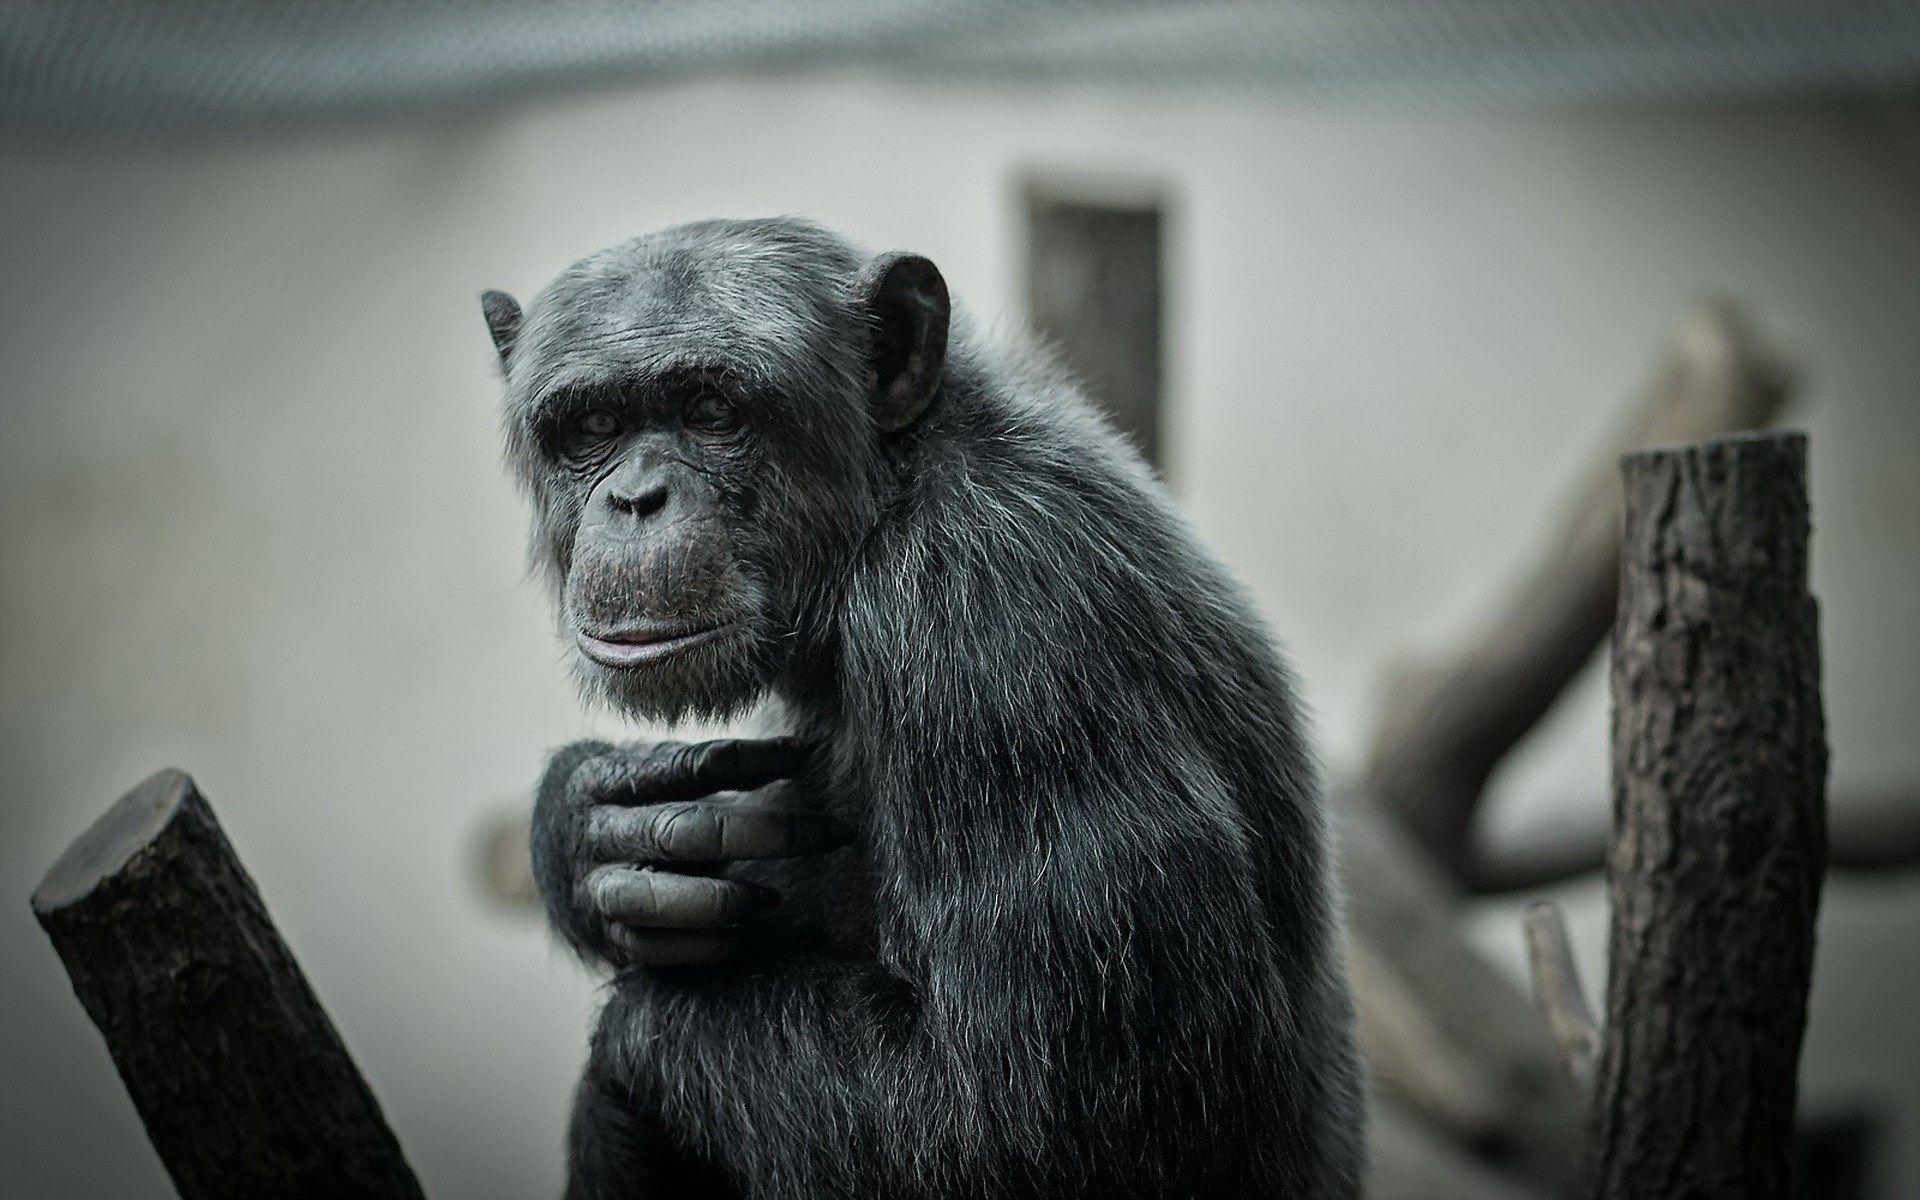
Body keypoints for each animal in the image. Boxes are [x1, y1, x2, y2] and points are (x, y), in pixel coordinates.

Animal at [482, 216, 1363, 1200]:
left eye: (712, 410)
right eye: (594, 426)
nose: (636, 499)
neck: (890, 497)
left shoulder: (997, 630)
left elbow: (1012, 1118)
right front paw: (589, 822)